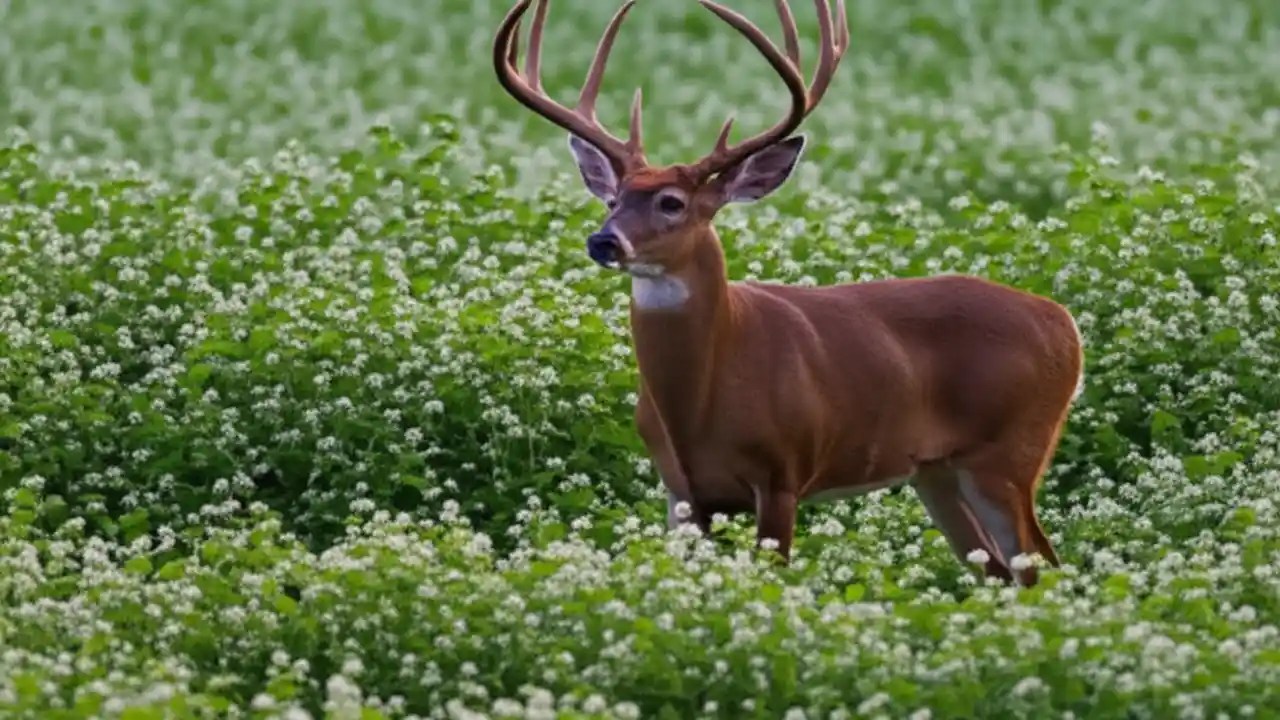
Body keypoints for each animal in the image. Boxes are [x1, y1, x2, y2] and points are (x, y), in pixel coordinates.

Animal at [492, 0, 1084, 587]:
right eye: (612, 199)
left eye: (671, 203)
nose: (603, 240)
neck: (703, 399)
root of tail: (1065, 322)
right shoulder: (680, 491)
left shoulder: (783, 471)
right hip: (935, 471)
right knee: (998, 573)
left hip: (1010, 451)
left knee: (1039, 565)